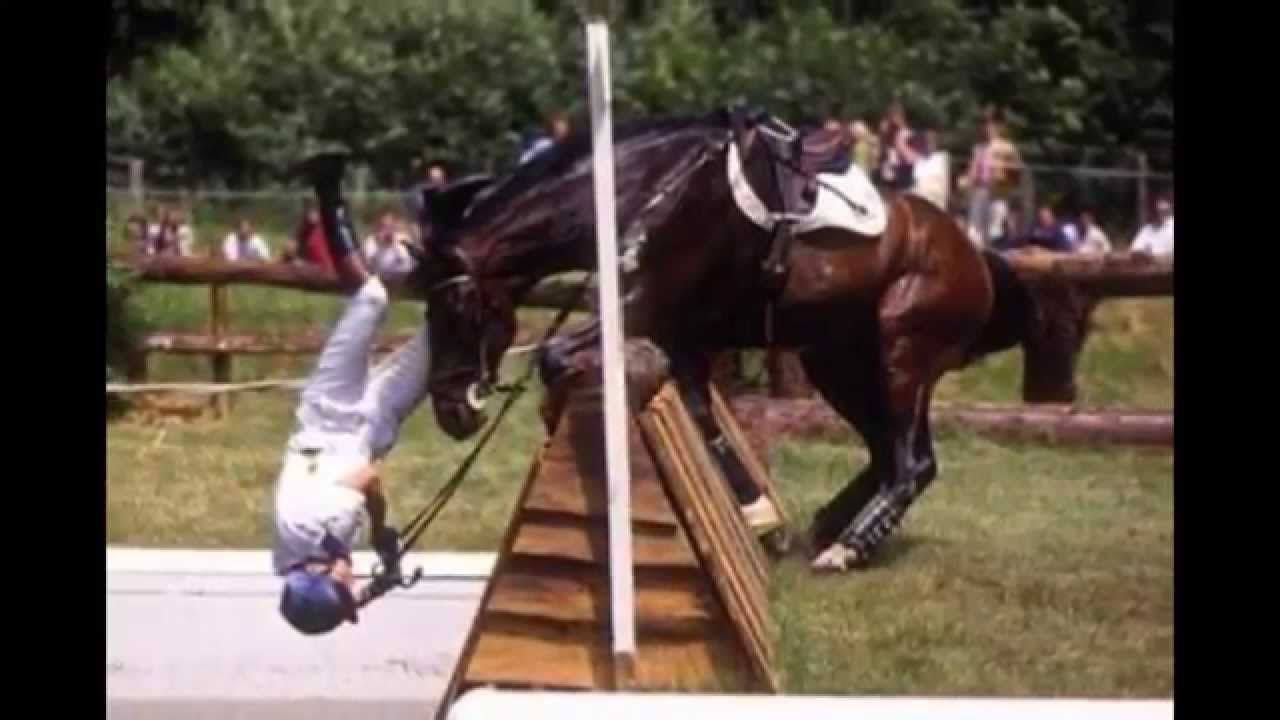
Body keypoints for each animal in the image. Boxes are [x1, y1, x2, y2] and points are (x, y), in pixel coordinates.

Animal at [415, 106, 1095, 572]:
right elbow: (704, 422)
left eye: (454, 308)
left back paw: (846, 549)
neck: (644, 190)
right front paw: (759, 517)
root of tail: (976, 255)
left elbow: (558, 358)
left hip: (900, 354)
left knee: (910, 463)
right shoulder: (681, 336)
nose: (449, 411)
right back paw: (829, 527)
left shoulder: (641, 310)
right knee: (890, 454)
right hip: (837, 363)